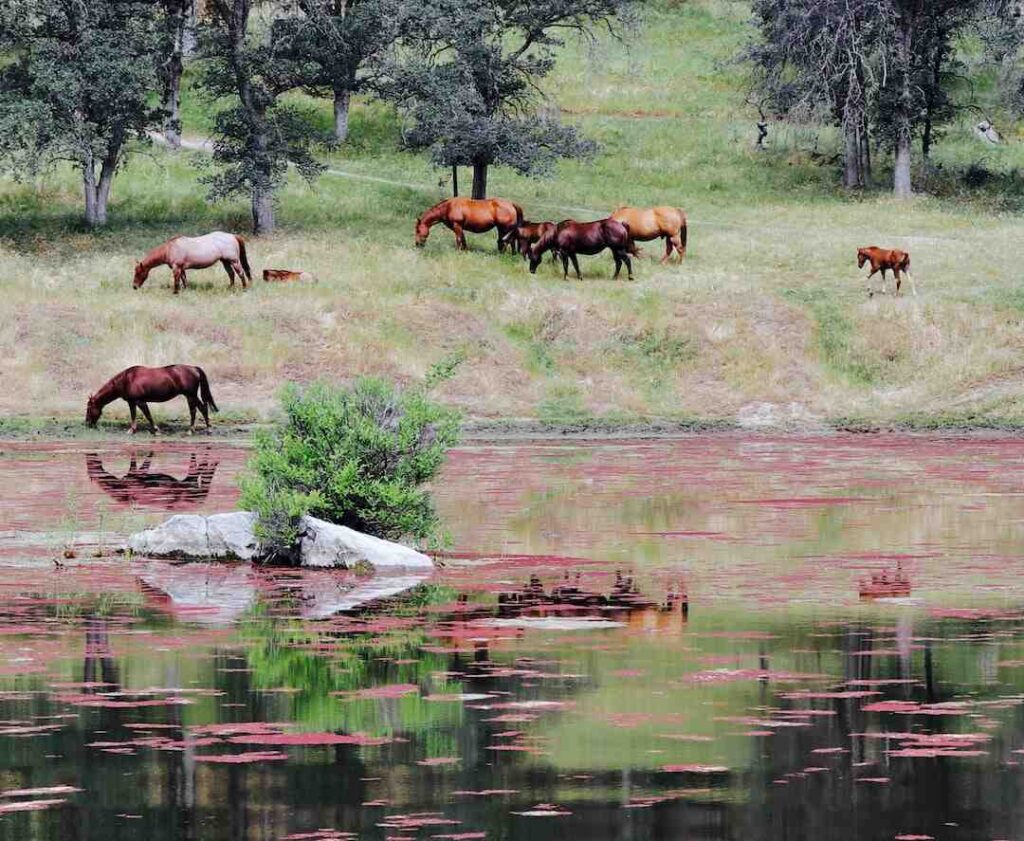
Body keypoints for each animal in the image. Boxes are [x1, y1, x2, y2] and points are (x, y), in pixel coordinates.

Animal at [85, 365, 219, 434]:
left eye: (88, 408)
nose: (87, 423)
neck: (127, 379)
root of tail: (194, 368)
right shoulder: (132, 402)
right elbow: (133, 415)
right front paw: (132, 429)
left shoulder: (140, 401)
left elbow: (148, 415)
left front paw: (155, 429)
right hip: (191, 396)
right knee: (200, 409)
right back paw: (204, 428)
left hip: (190, 395)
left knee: (197, 410)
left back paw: (195, 430)